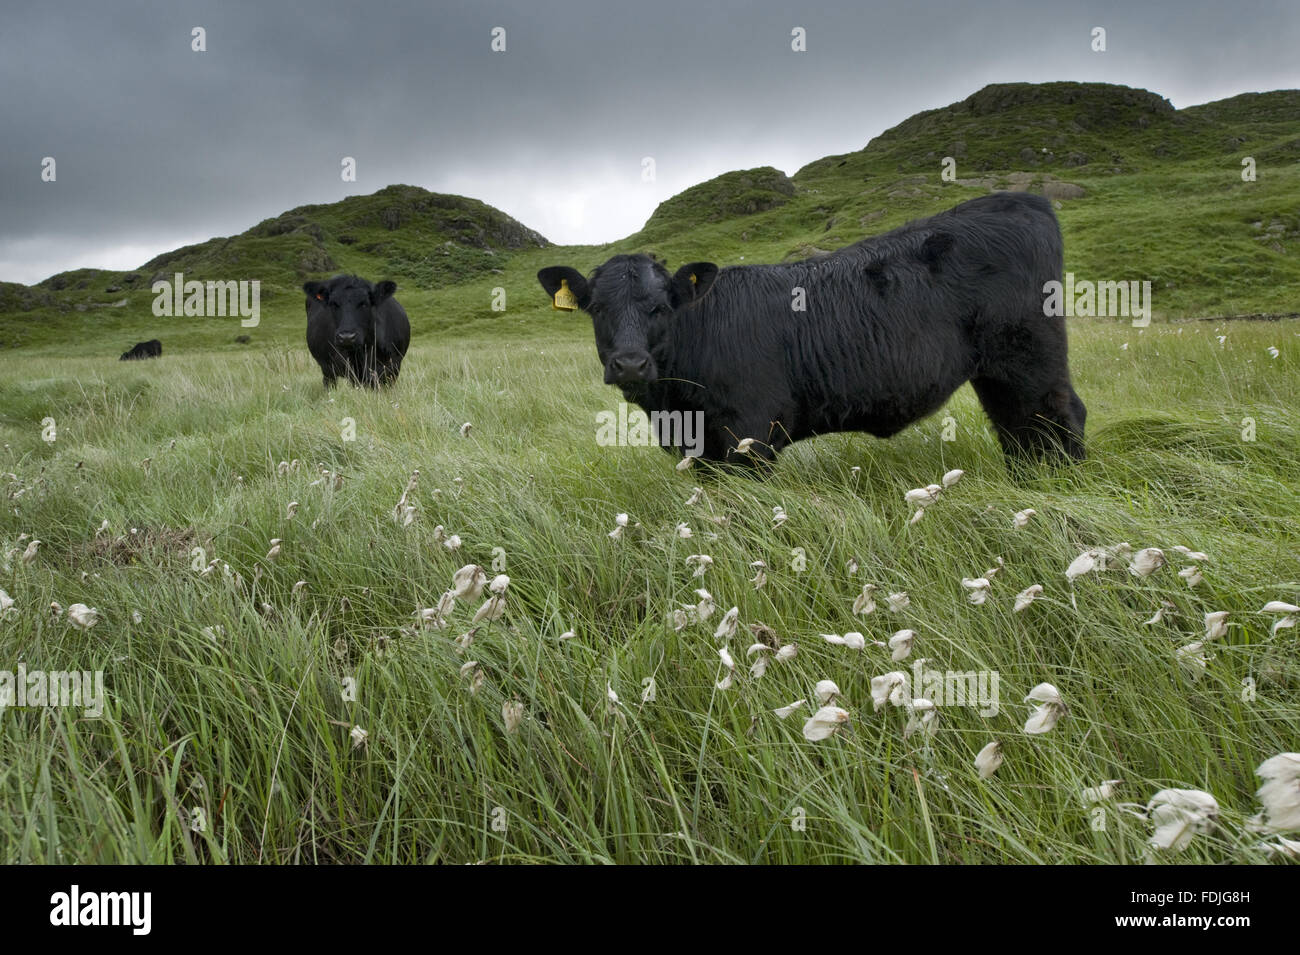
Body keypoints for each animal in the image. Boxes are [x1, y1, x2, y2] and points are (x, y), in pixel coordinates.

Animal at [538, 192, 1085, 471]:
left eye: (660, 307)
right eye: (597, 308)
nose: (630, 363)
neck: (673, 406)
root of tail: (1019, 198)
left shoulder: (748, 431)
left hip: (1030, 357)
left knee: (1058, 416)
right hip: (997, 372)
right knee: (1018, 428)